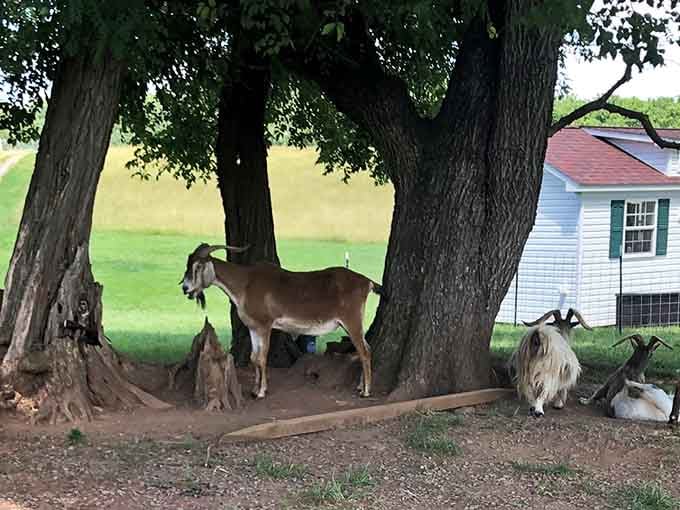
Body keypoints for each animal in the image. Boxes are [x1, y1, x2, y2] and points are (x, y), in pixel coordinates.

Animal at [180, 243, 383, 399]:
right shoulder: (253, 327)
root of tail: (366, 281)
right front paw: (254, 390)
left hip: (352, 320)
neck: (245, 283)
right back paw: (360, 386)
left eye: (198, 266)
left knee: (364, 351)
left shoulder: (264, 325)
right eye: (188, 264)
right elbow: (253, 357)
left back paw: (365, 391)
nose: (185, 288)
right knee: (366, 348)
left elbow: (262, 357)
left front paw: (261, 393)